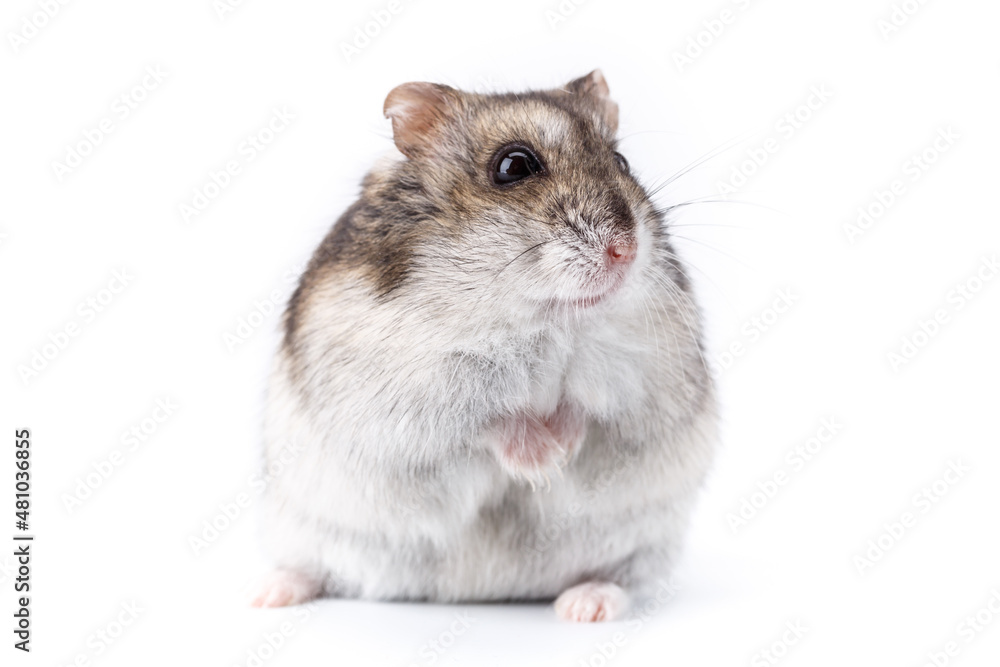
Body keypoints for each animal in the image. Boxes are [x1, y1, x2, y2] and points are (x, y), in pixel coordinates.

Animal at [249, 70, 718, 622]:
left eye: (623, 163)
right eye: (514, 166)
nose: (626, 252)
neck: (544, 317)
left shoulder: (641, 376)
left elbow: (588, 408)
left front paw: (556, 451)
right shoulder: (416, 388)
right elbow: (488, 416)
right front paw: (541, 461)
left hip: (646, 540)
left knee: (618, 576)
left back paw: (586, 605)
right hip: (303, 524)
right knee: (312, 566)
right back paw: (268, 594)